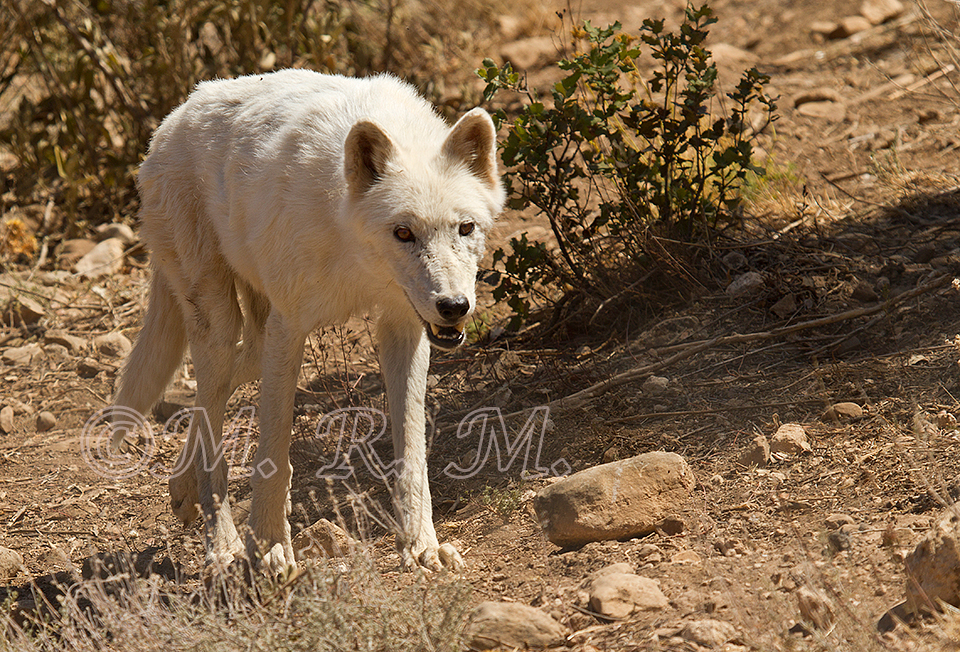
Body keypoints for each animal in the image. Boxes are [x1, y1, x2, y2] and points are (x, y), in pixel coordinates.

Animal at [111, 69, 505, 573]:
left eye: (466, 228)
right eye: (403, 232)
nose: (454, 306)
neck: (352, 250)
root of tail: (172, 119)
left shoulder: (404, 326)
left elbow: (412, 450)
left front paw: (422, 545)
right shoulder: (290, 328)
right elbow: (273, 454)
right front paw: (269, 547)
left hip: (255, 338)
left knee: (214, 392)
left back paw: (183, 491)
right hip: (220, 323)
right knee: (213, 413)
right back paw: (223, 543)